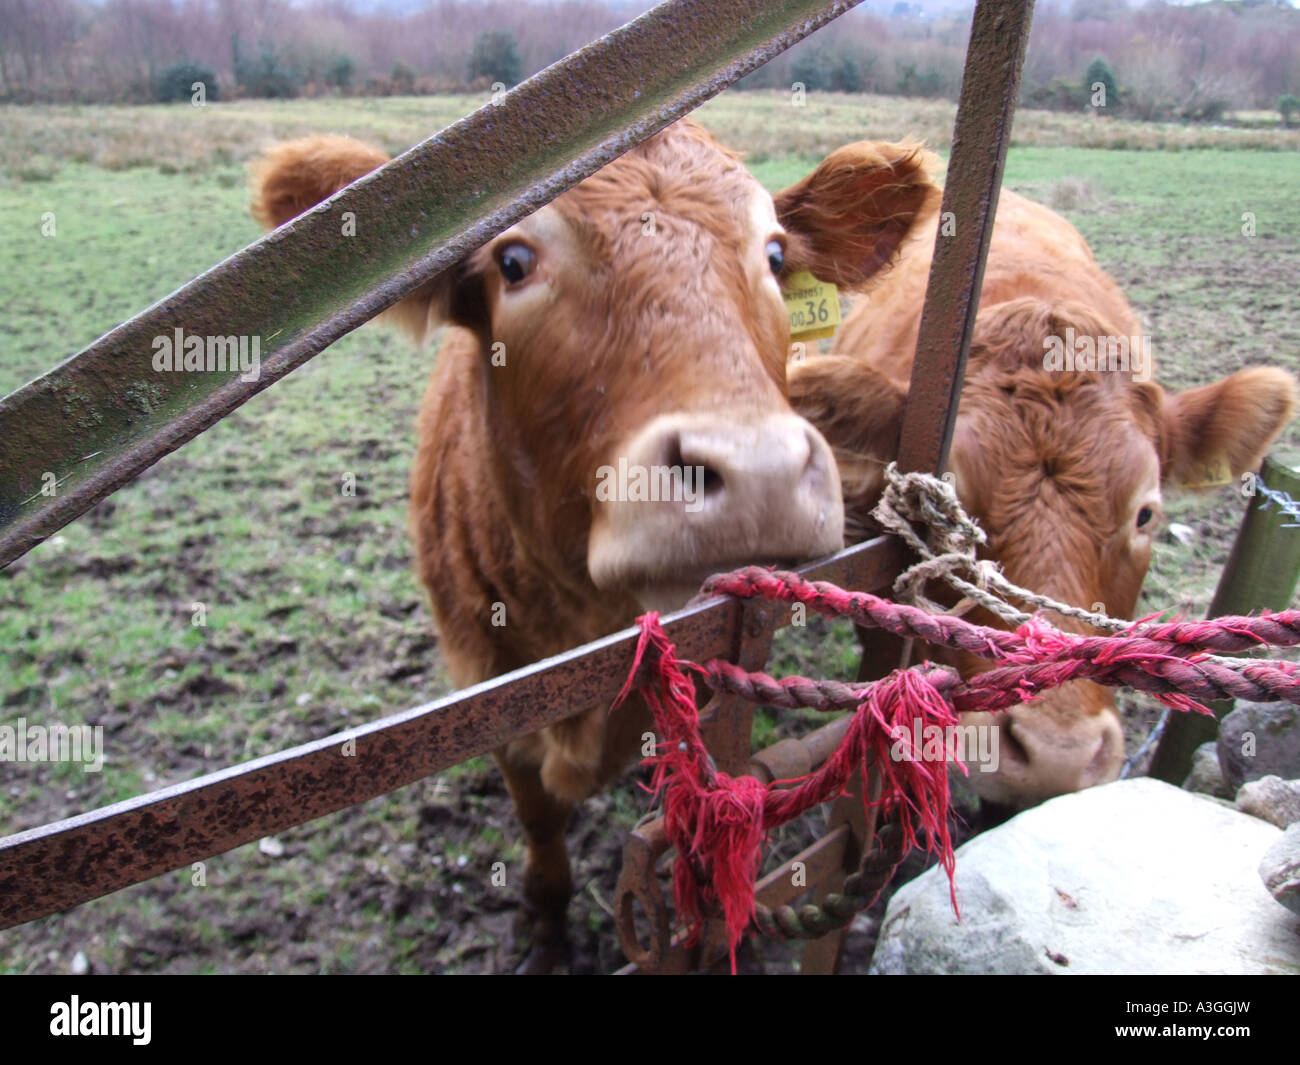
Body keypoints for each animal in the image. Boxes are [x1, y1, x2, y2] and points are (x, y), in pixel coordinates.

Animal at [250, 121, 940, 970]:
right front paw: (544, 920)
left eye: (776, 256)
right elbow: (538, 816)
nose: (761, 471)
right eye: (513, 261)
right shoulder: (485, 682)